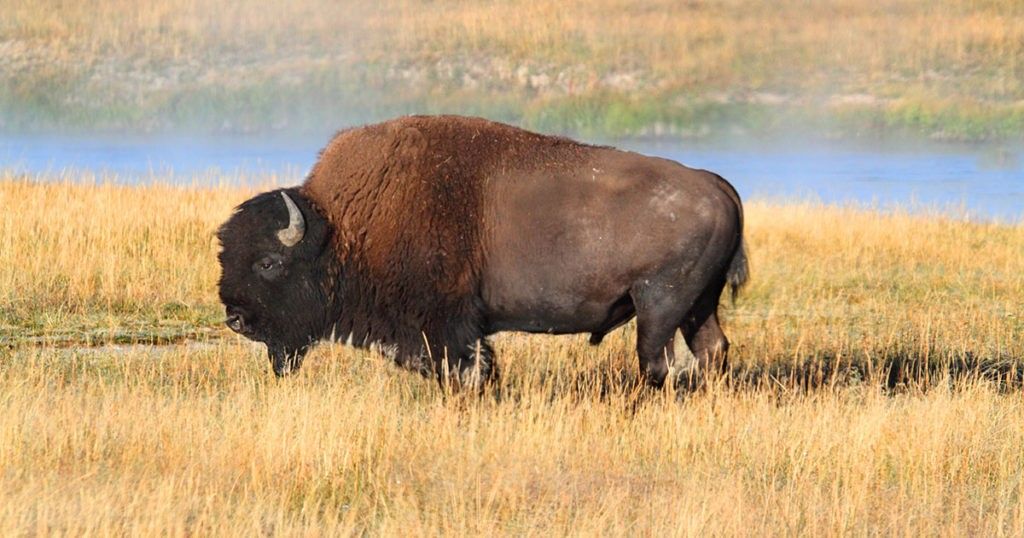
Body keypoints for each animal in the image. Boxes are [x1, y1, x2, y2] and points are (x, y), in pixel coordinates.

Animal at [217, 115, 747, 389]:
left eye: (268, 262)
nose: (236, 318)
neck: (343, 230)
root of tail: (715, 183)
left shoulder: (447, 325)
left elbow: (466, 368)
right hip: (697, 304)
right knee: (711, 349)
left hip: (658, 303)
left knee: (656, 361)